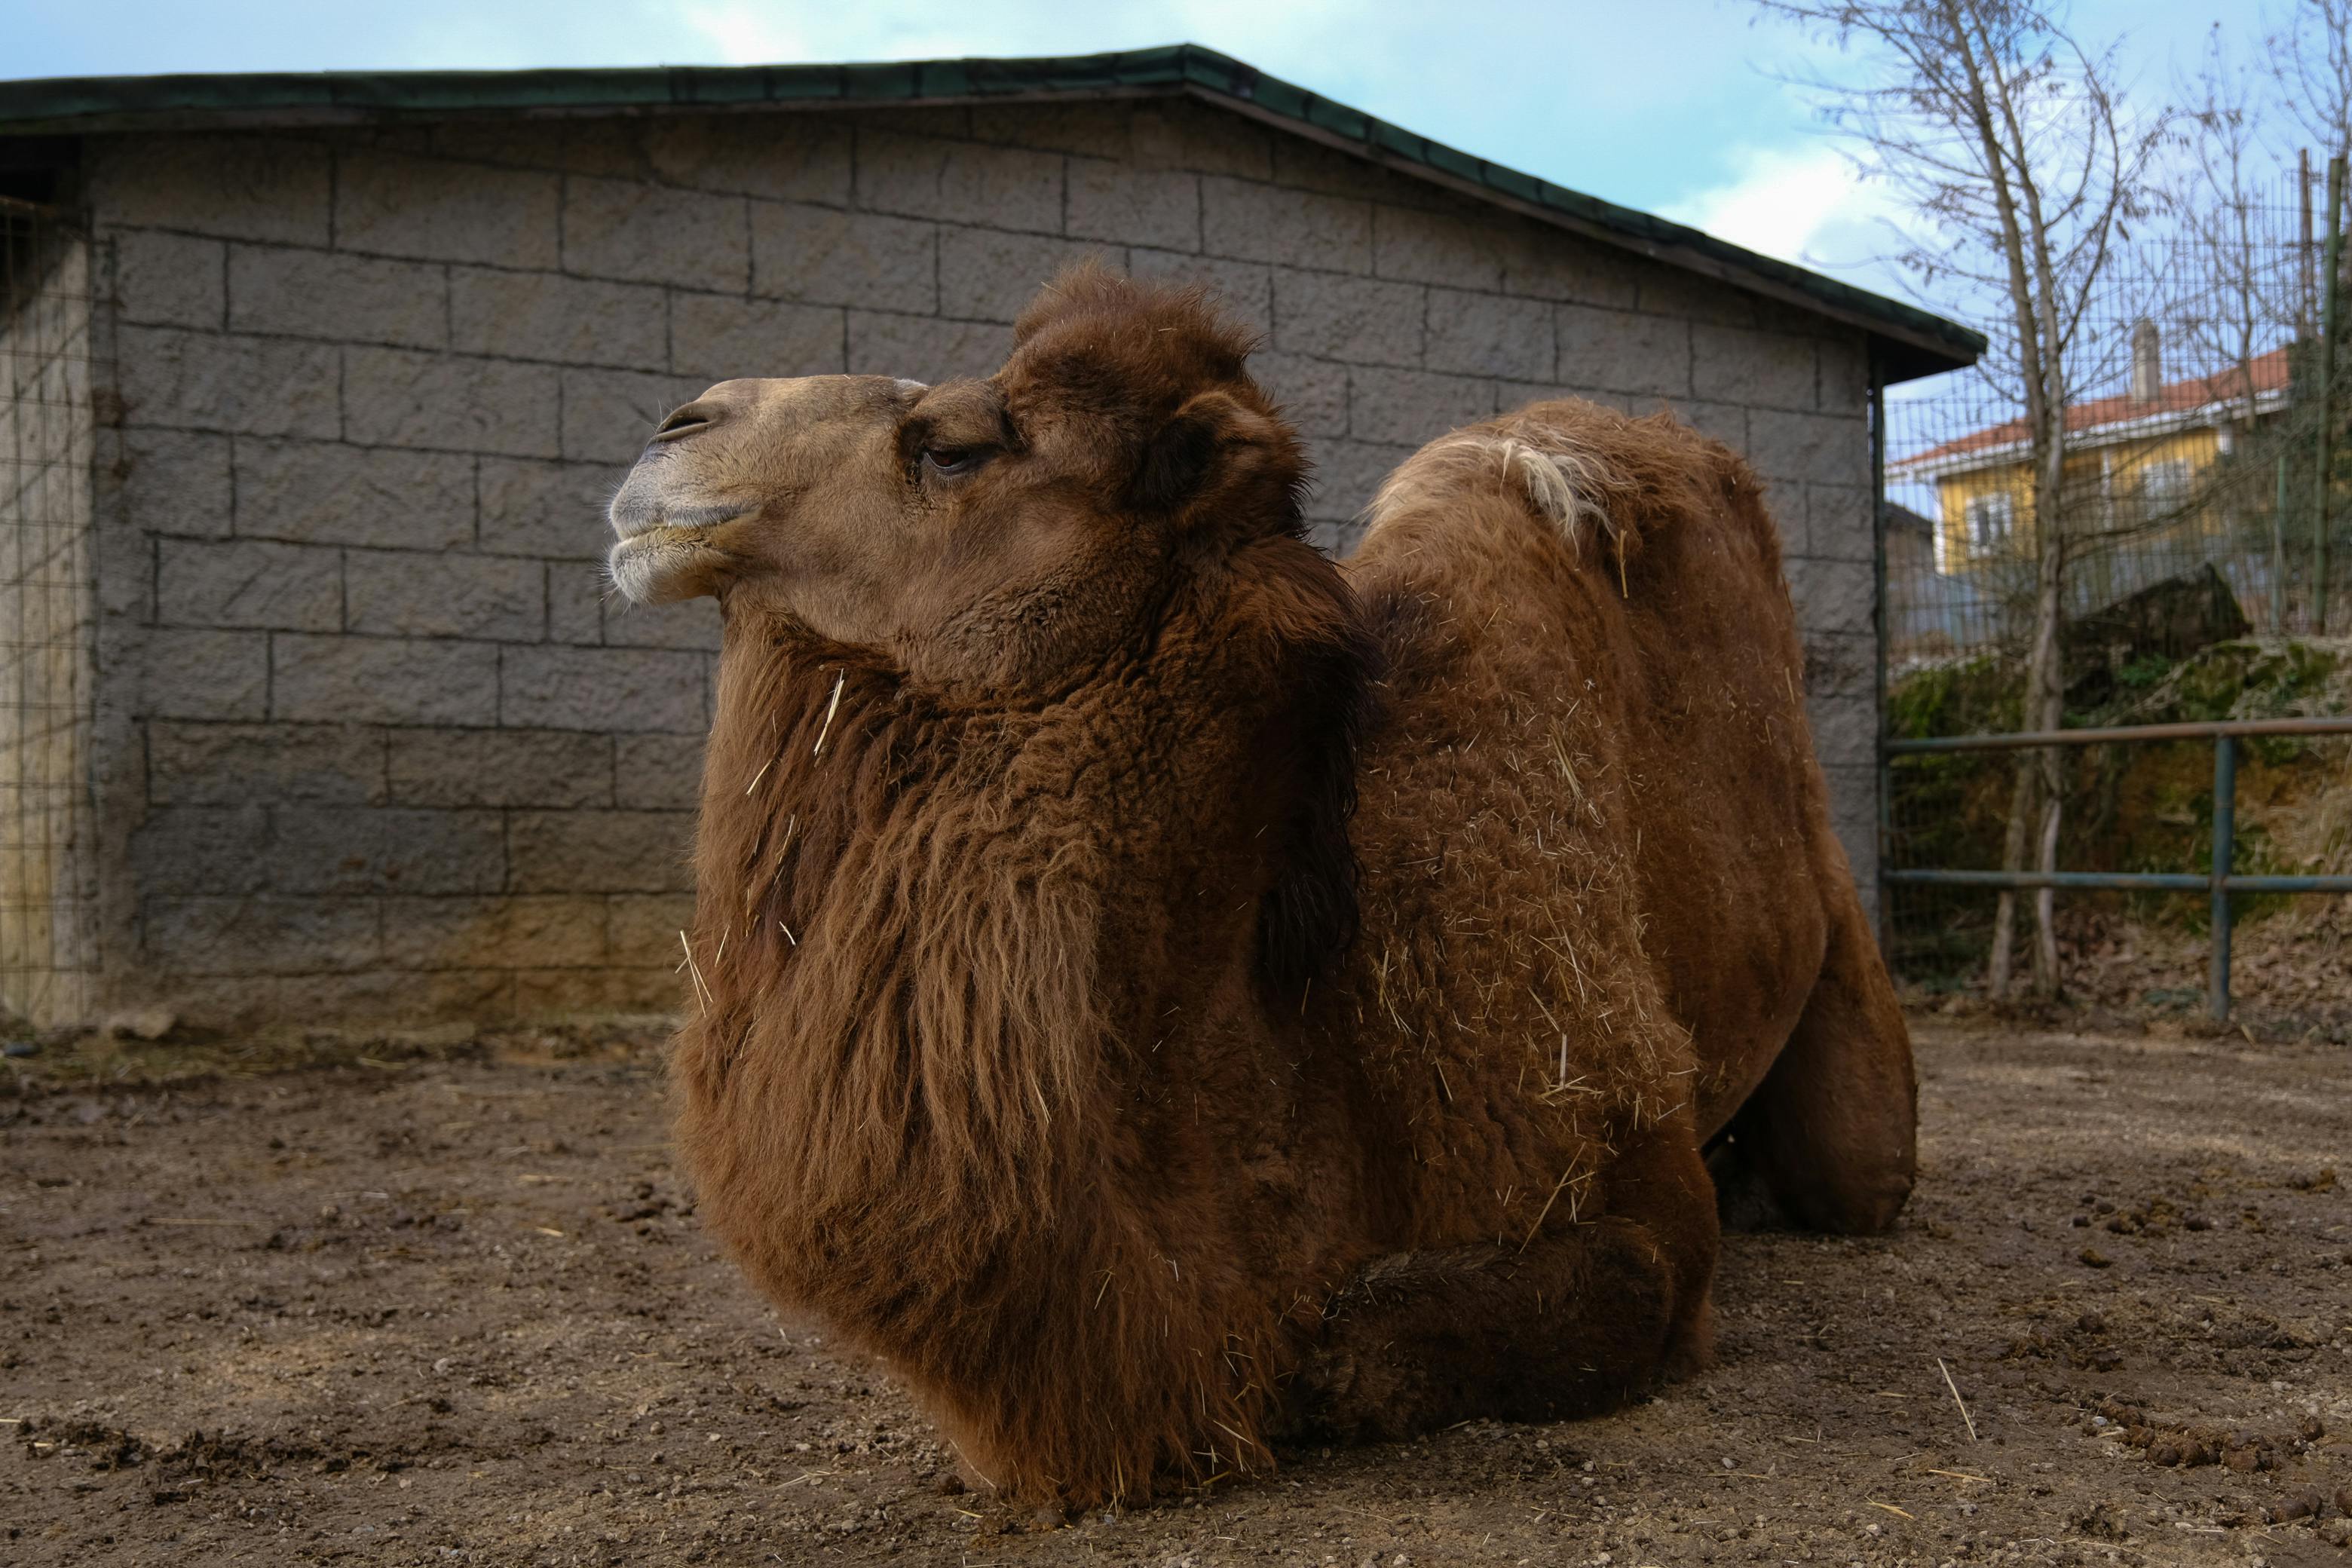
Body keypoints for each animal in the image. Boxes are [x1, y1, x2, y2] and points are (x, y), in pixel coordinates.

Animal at [604, 266, 1916, 1508]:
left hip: (1849, 1006)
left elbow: (1410, 1332)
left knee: (1859, 1172)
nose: (675, 425)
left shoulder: (1618, 1131)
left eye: (952, 445)